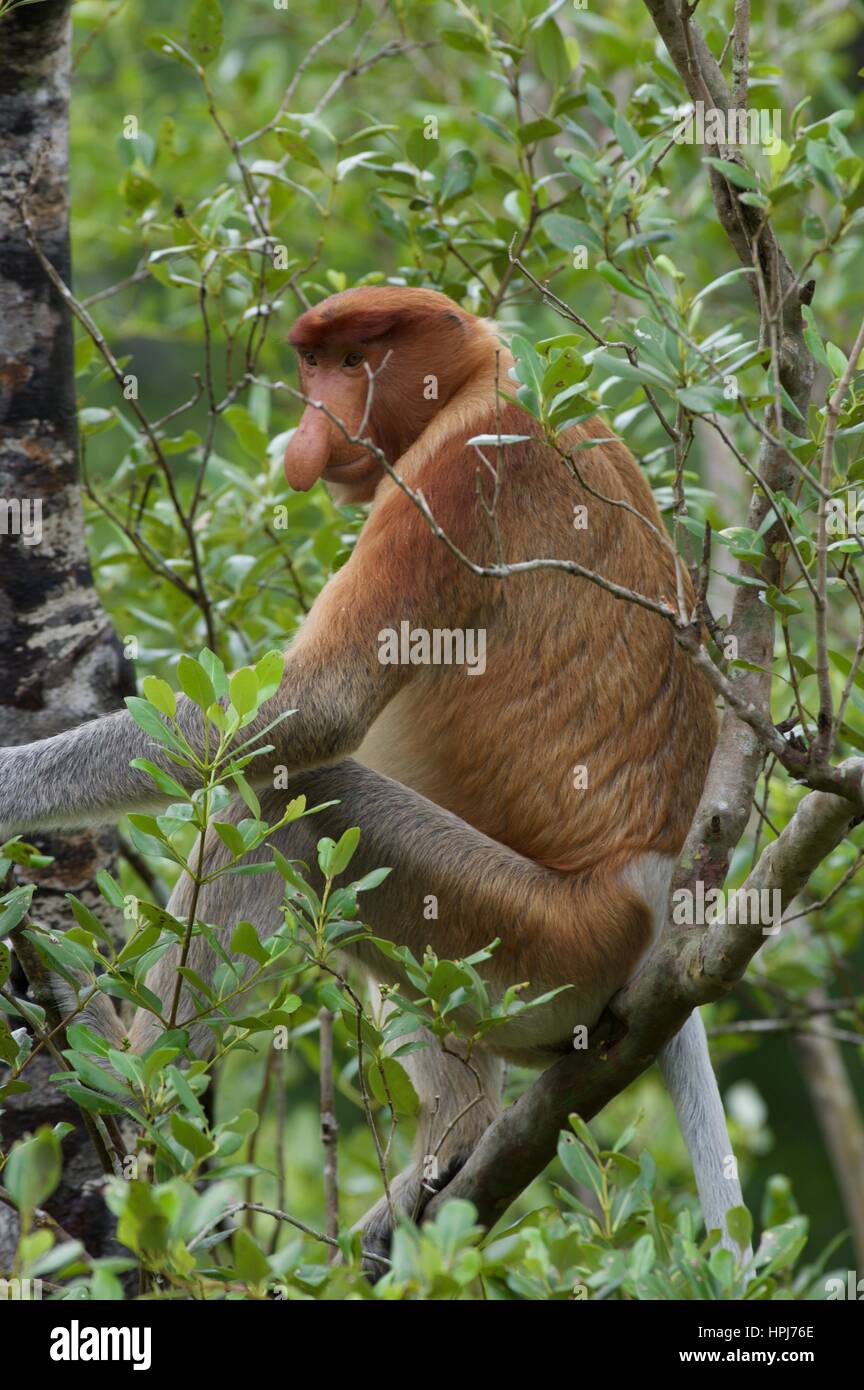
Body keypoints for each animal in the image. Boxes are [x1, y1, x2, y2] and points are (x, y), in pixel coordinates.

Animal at [0, 285, 744, 1261]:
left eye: (357, 362)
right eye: (313, 364)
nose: (312, 428)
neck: (483, 375)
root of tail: (656, 898)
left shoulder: (458, 478)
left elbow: (312, 709)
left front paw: (4, 786)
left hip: (547, 943)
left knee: (295, 800)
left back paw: (134, 1085)